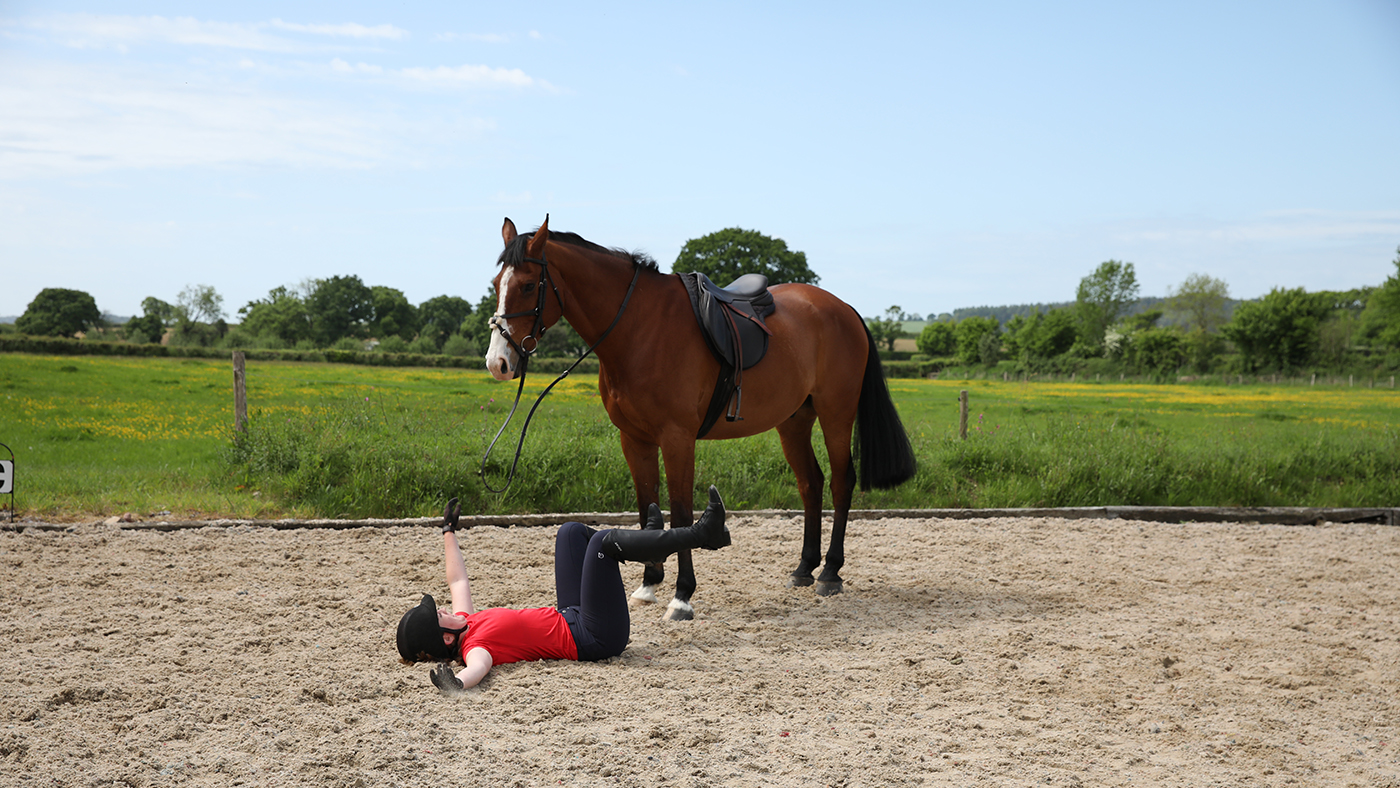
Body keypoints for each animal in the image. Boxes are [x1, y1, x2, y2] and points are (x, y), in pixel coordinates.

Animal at [484, 217, 917, 620]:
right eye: (495, 282)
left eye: (528, 285)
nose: (498, 363)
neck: (639, 328)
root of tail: (844, 309)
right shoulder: (635, 439)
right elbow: (647, 507)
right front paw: (649, 583)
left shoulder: (677, 438)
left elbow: (679, 513)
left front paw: (682, 596)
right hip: (794, 420)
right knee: (811, 484)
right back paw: (803, 569)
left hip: (836, 414)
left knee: (842, 483)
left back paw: (830, 573)